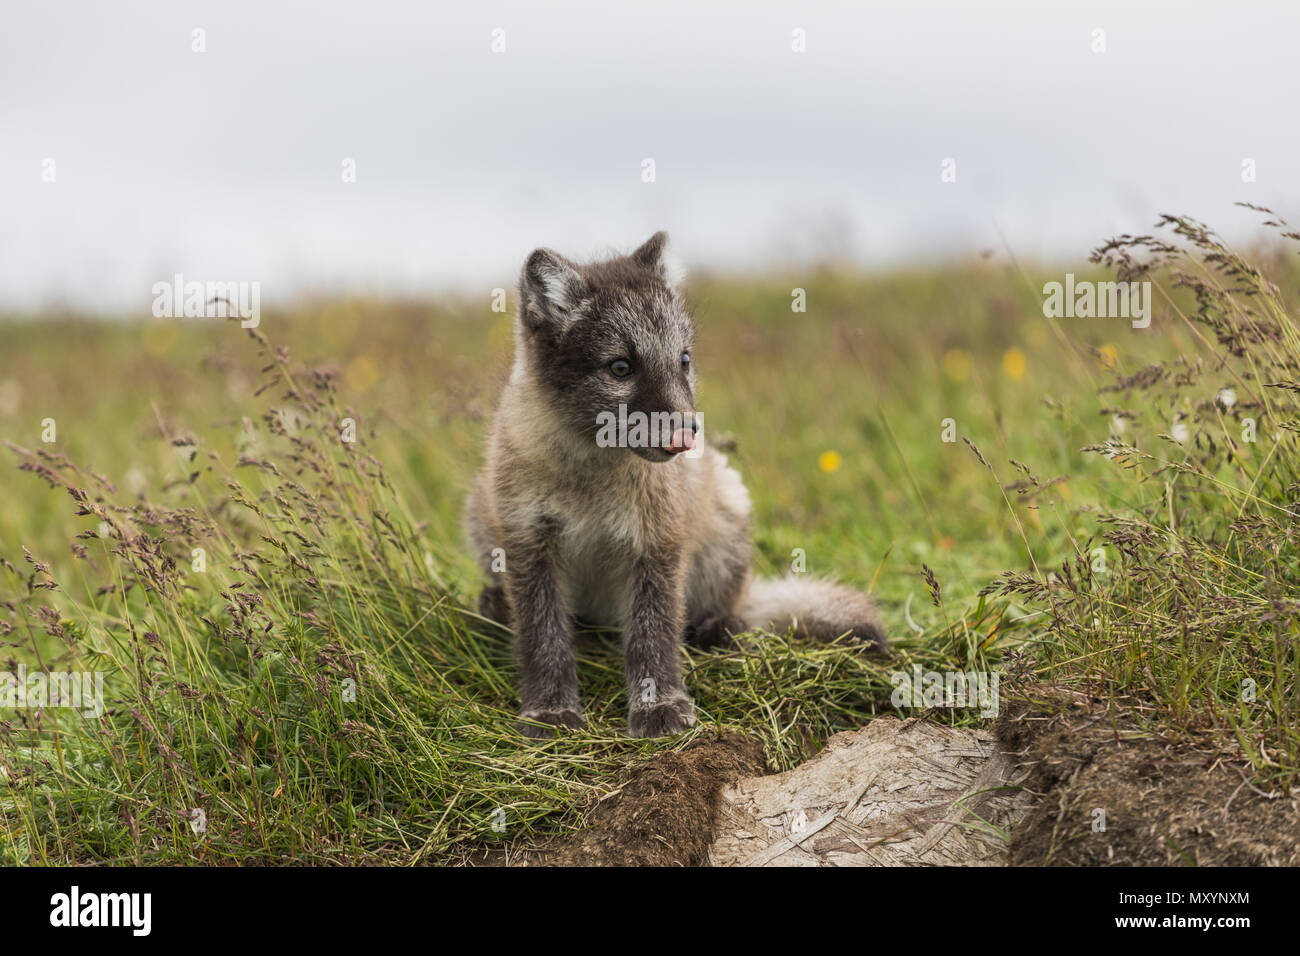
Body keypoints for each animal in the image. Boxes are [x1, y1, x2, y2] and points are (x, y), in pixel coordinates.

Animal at [465, 231, 887, 738]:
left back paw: (719, 629)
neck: (590, 478)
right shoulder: (530, 544)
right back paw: (496, 606)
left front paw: (659, 707)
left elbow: (654, 636)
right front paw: (549, 712)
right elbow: (543, 638)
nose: (687, 434)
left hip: (728, 515)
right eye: (620, 367)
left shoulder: (658, 542)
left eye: (683, 360)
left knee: (734, 610)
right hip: (478, 512)